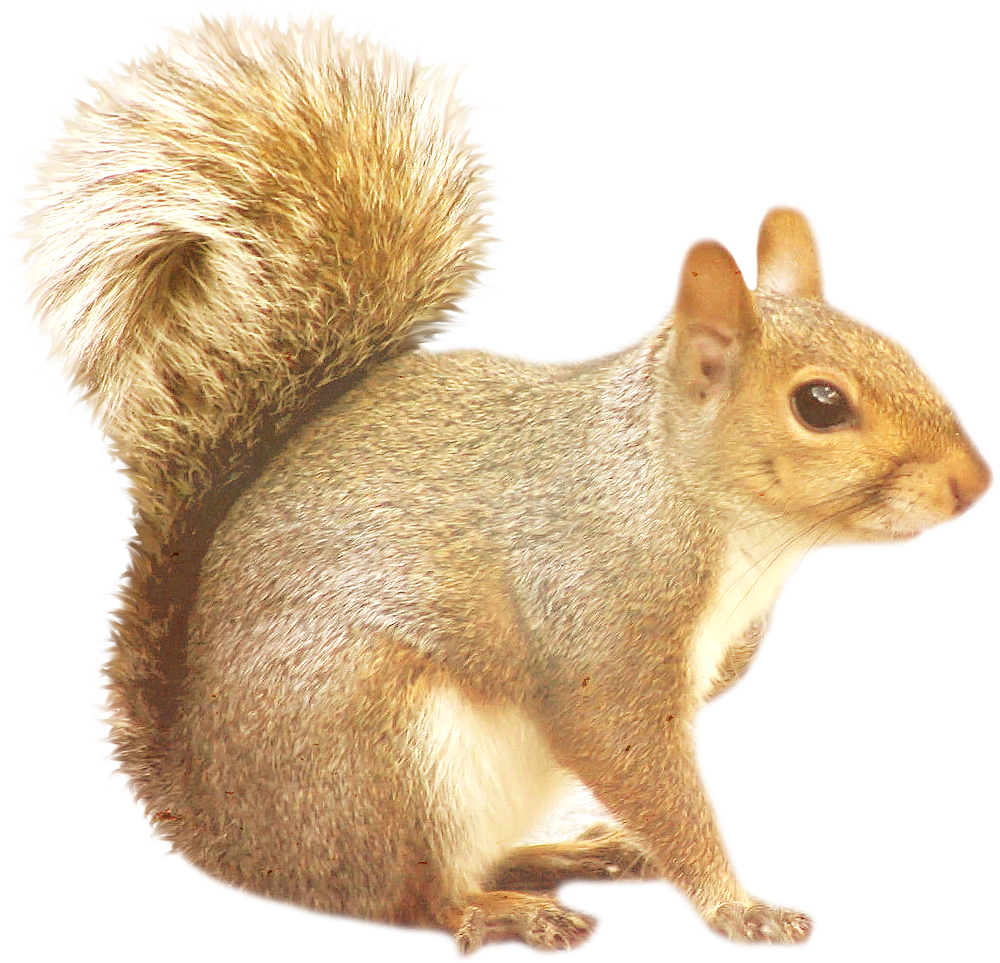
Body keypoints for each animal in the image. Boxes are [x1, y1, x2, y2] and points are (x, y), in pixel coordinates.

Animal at [14, 7, 993, 956]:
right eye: (821, 403)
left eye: (900, 347)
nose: (974, 483)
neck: (708, 510)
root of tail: (231, 824)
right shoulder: (603, 625)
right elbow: (640, 763)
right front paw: (743, 908)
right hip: (385, 753)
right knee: (416, 897)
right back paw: (507, 911)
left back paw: (568, 855)